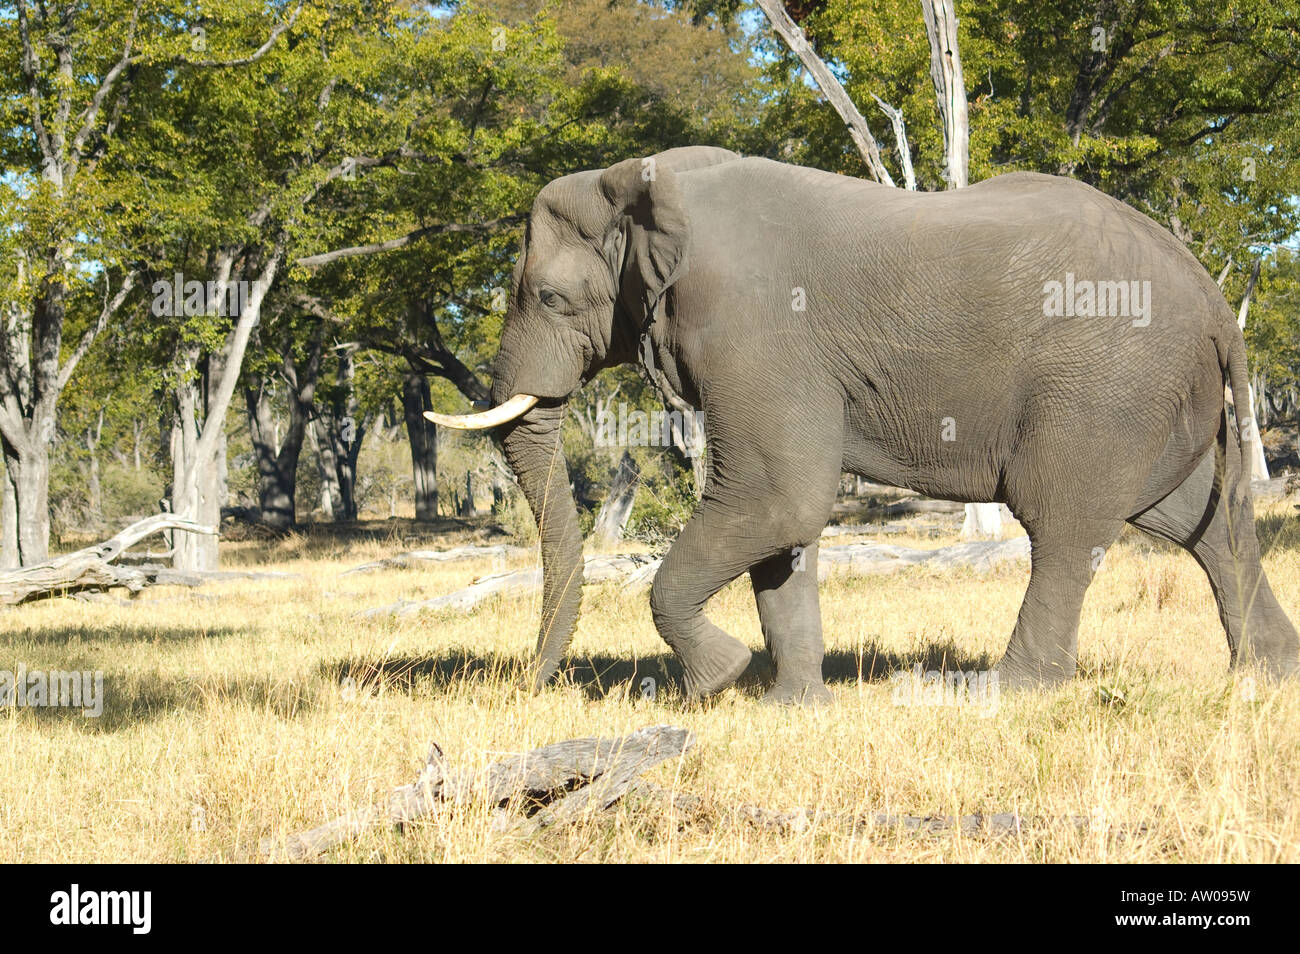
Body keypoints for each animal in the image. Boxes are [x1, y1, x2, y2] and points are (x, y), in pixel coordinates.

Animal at [429, 145, 1299, 704]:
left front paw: (720, 680)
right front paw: (791, 708)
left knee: (1062, 526)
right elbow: (785, 527)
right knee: (1201, 526)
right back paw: (1267, 677)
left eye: (549, 299)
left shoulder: (751, 328)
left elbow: (780, 499)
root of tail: (1213, 296)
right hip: (1155, 396)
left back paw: (1004, 695)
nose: (528, 686)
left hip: (1103, 385)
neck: (638, 184)